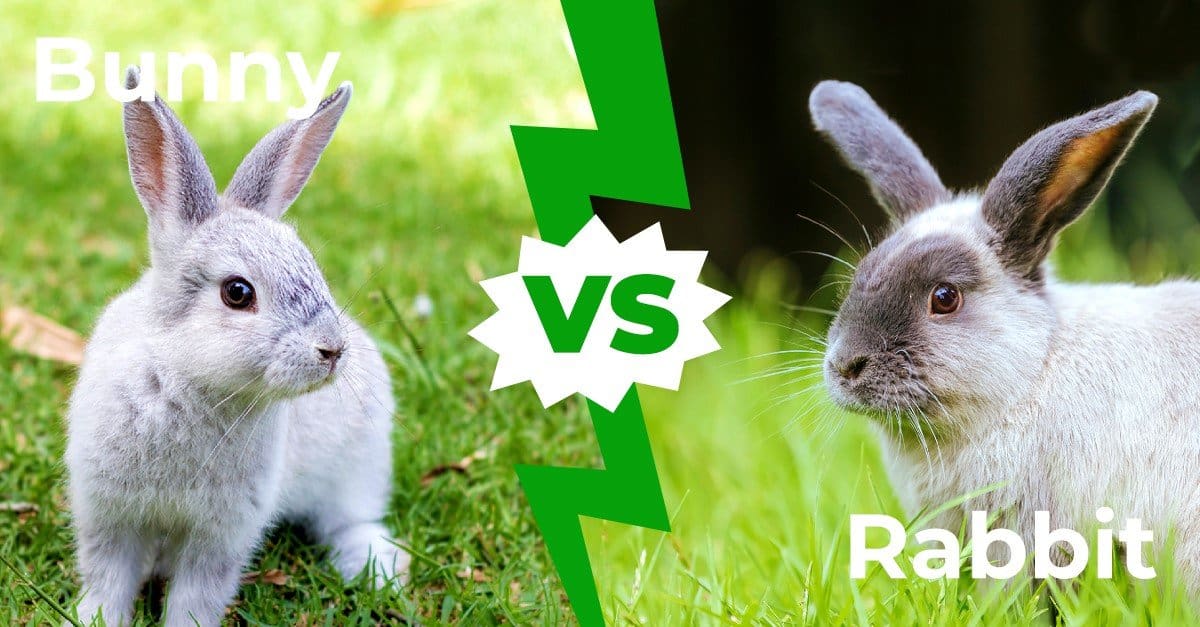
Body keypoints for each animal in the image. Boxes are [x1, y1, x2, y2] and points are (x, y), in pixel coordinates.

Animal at [64, 66, 409, 627]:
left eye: (311, 266)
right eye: (238, 292)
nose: (332, 350)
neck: (187, 380)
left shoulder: (221, 535)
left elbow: (197, 594)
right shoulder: (108, 512)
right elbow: (108, 577)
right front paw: (94, 617)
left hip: (359, 467)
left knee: (349, 520)